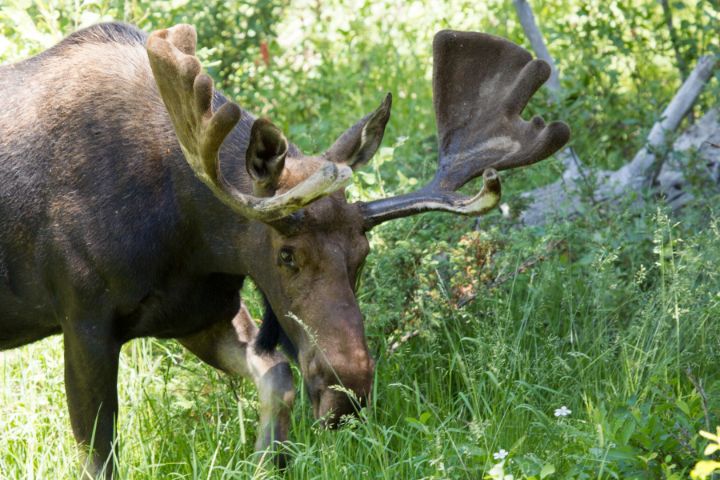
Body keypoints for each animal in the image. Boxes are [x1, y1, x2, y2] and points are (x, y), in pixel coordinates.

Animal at [0, 22, 569, 478]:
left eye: (362, 254)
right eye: (286, 254)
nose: (347, 392)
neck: (188, 234)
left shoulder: (197, 311)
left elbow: (277, 378)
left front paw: (266, 461)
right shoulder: (84, 321)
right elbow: (100, 456)